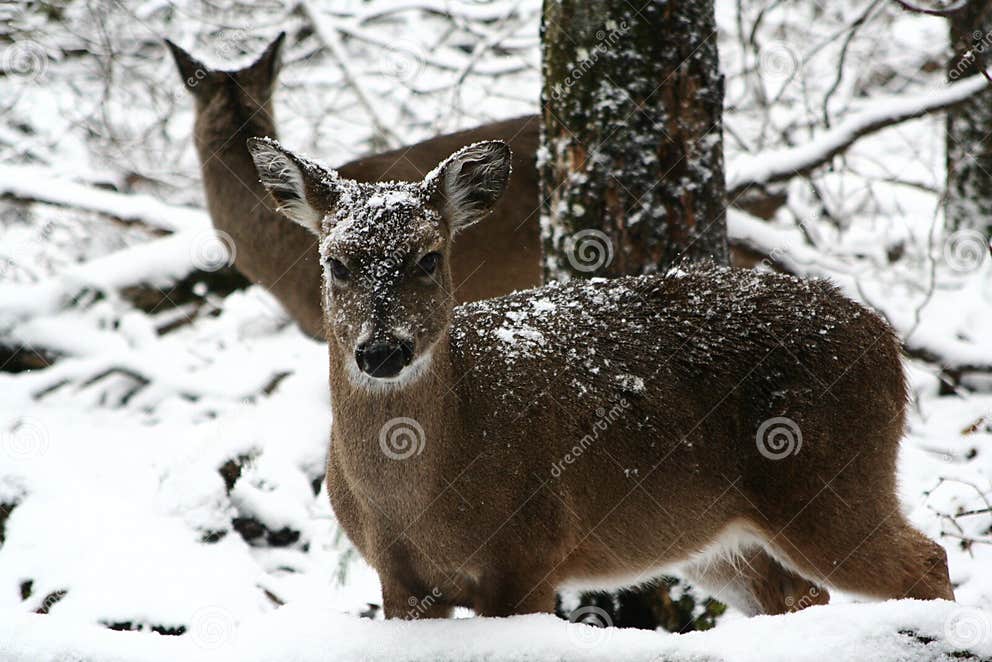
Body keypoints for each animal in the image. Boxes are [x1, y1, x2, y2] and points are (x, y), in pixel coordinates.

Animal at [247, 136, 955, 619]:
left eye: (429, 257)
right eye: (336, 263)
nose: (382, 350)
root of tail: (887, 342)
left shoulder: (530, 552)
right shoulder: (399, 580)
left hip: (832, 480)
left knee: (928, 561)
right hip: (725, 541)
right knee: (808, 593)